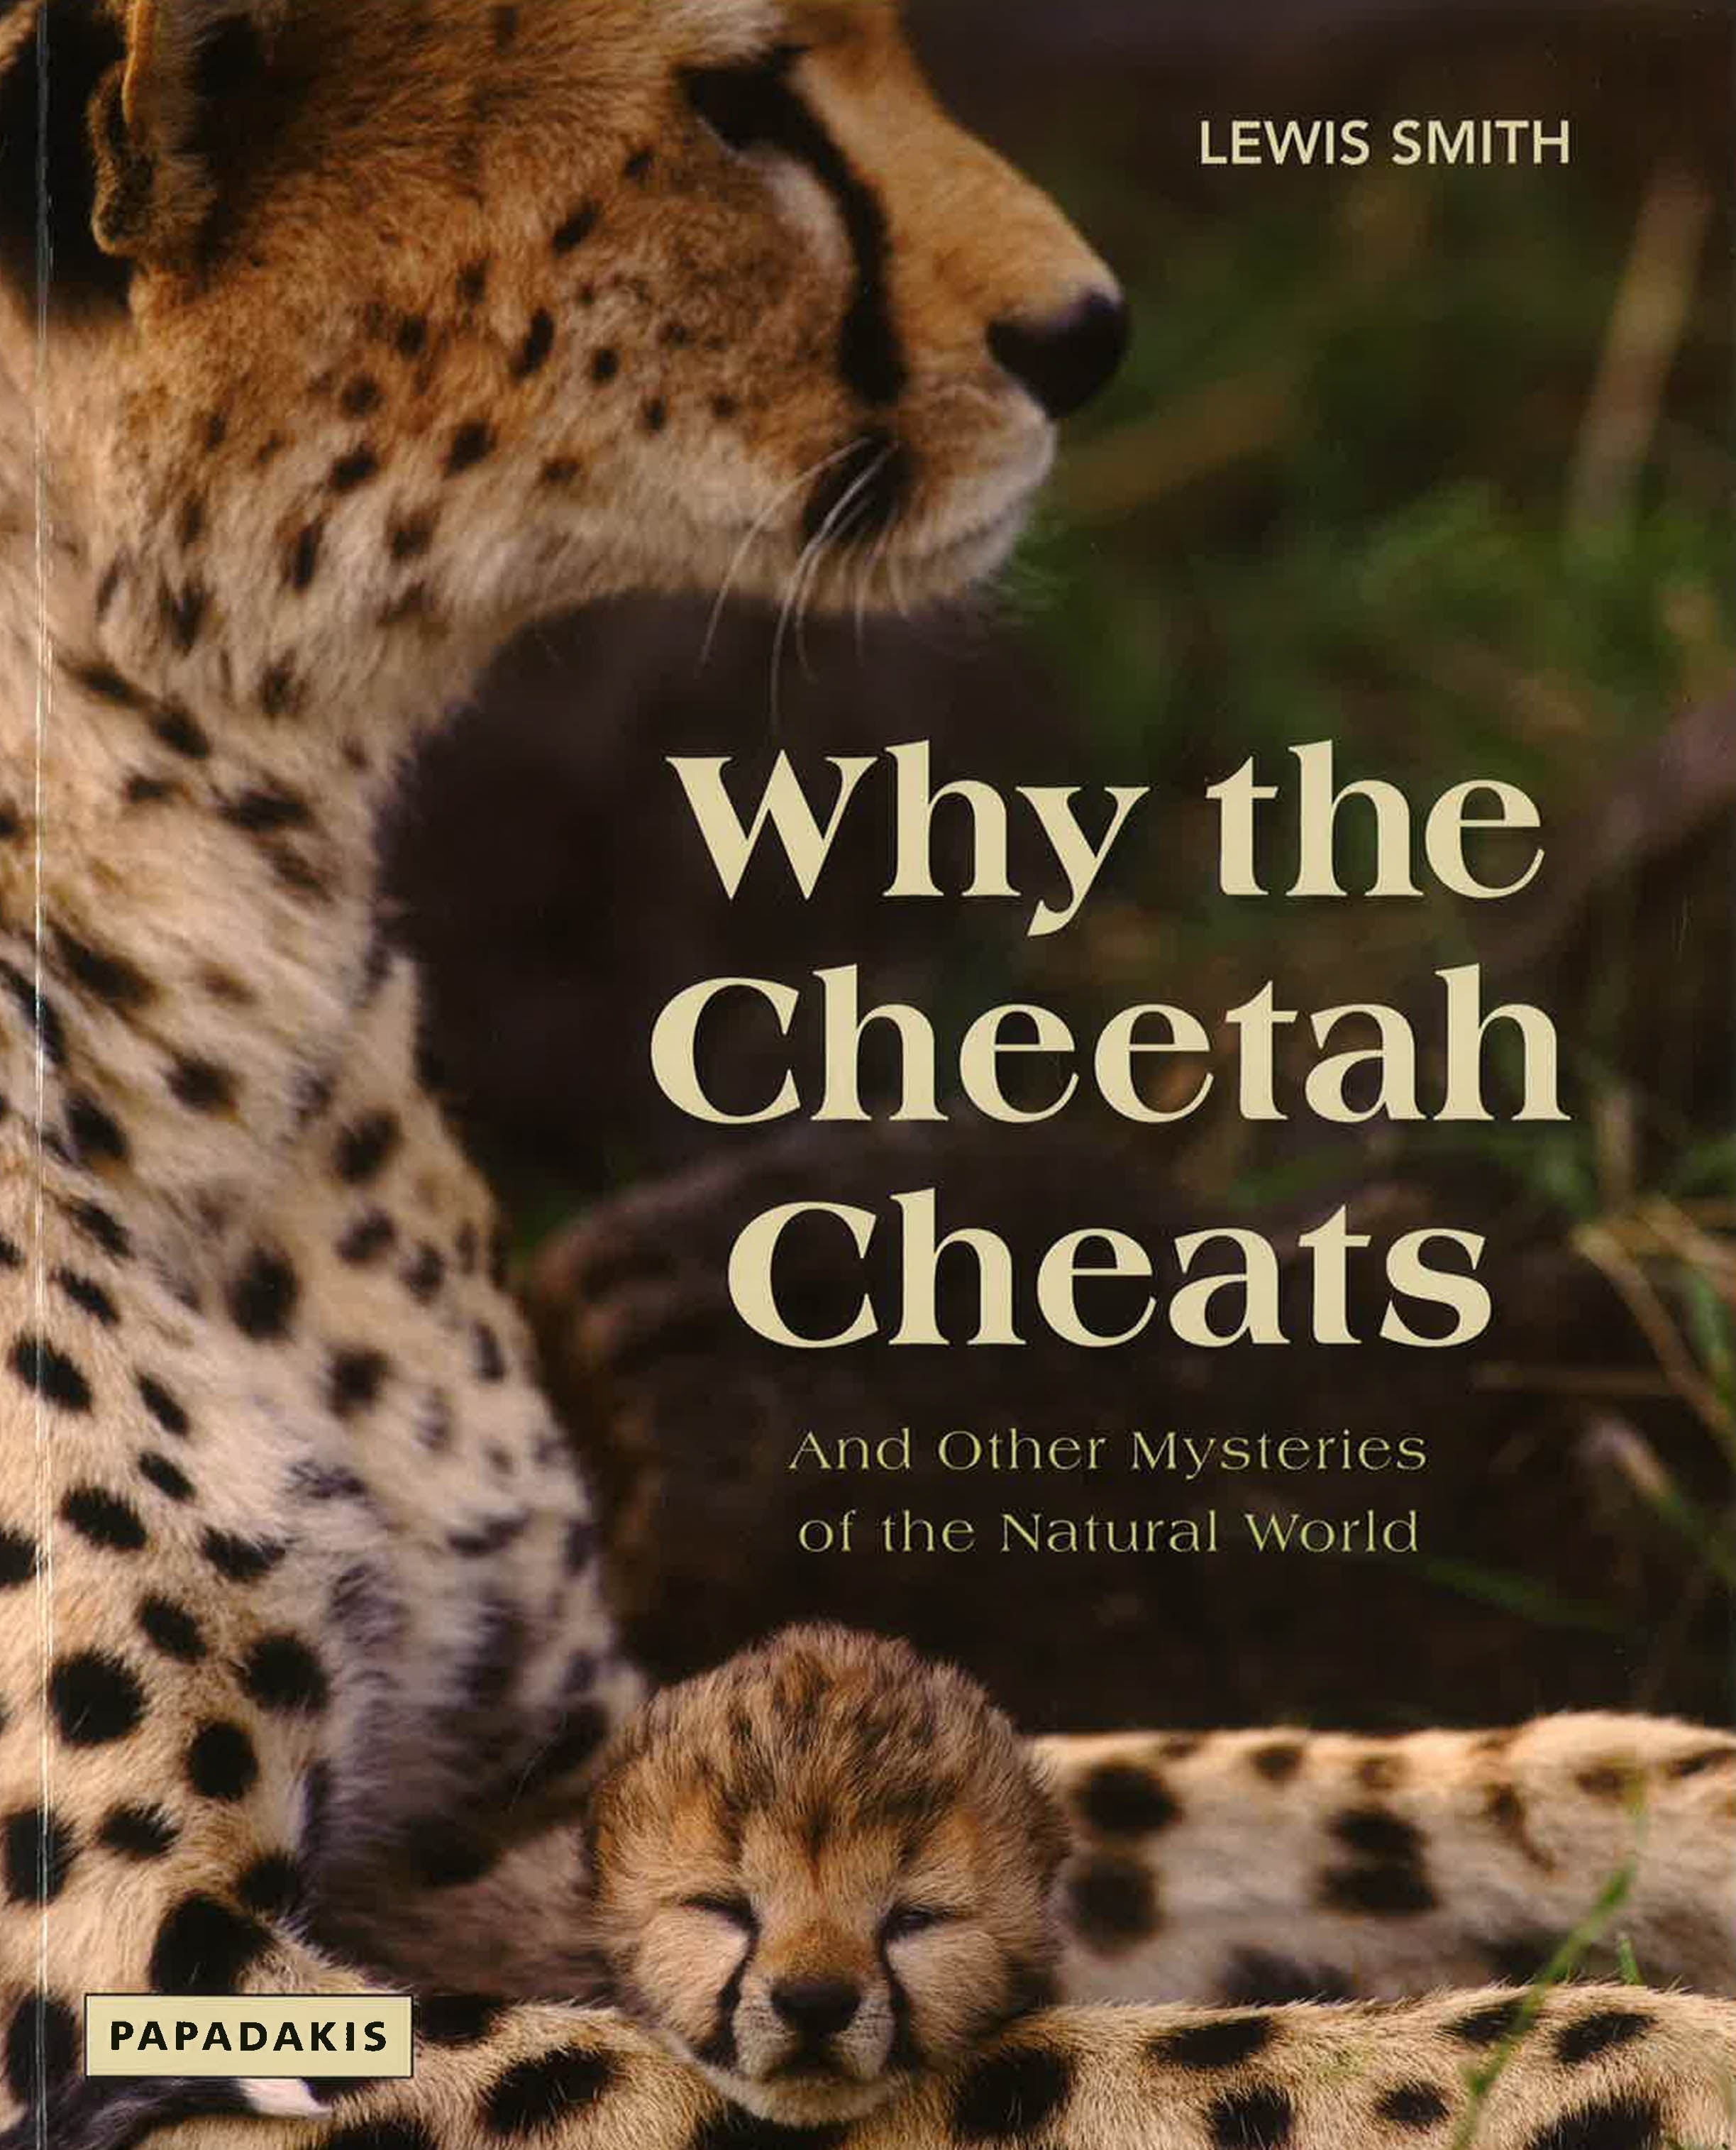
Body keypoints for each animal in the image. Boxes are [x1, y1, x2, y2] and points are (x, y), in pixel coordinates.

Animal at [0, 1, 1730, 2148]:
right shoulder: (148, 1986)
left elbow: (1231, 1802)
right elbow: (1173, 2059)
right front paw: (1654, 2046)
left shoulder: (537, 1814)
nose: (1084, 331)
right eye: (735, 98)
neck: (236, 854)